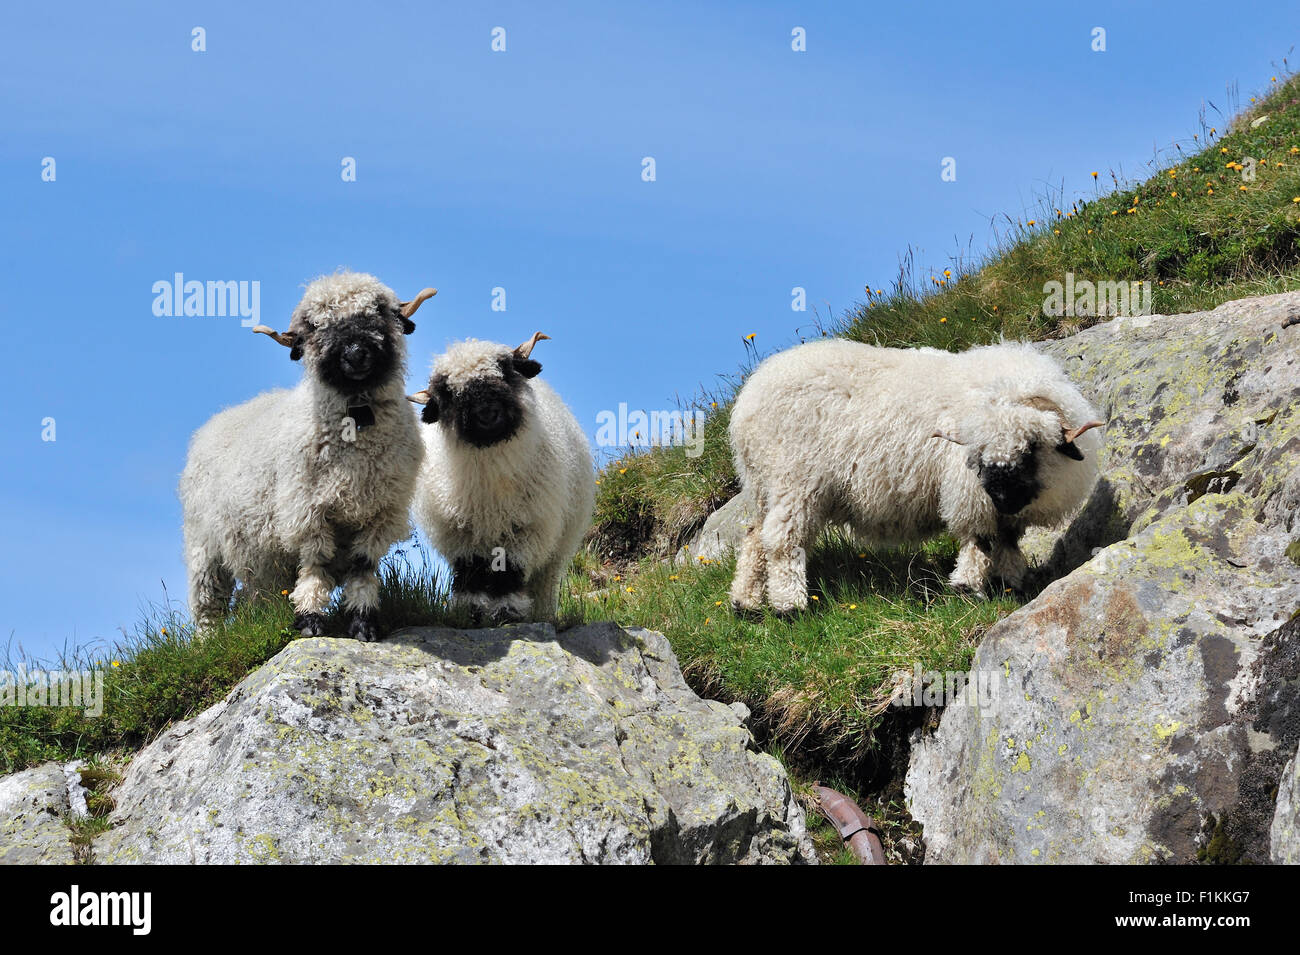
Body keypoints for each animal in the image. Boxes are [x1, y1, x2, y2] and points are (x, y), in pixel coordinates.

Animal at [180, 271, 436, 641]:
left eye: (380, 310)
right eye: (315, 326)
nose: (355, 353)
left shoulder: (382, 513)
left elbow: (362, 566)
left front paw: (363, 623)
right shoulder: (307, 511)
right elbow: (316, 563)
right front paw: (310, 620)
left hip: (258, 559)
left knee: (256, 594)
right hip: (204, 546)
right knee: (209, 602)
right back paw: (208, 640)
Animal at [408, 333, 595, 624]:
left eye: (505, 370)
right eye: (447, 393)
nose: (486, 410)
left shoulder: (526, 527)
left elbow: (508, 571)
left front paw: (506, 614)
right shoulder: (460, 533)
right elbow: (470, 573)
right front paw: (469, 613)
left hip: (557, 548)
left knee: (543, 580)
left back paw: (540, 614)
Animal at [726, 339, 1104, 614]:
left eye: (1032, 446)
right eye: (981, 452)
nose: (1001, 496)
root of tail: (749, 398)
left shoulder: (1005, 509)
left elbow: (1007, 541)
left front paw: (1011, 583)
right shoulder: (968, 494)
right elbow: (979, 540)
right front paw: (968, 587)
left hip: (764, 484)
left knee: (754, 536)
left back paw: (745, 602)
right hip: (794, 478)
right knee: (782, 540)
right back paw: (789, 605)